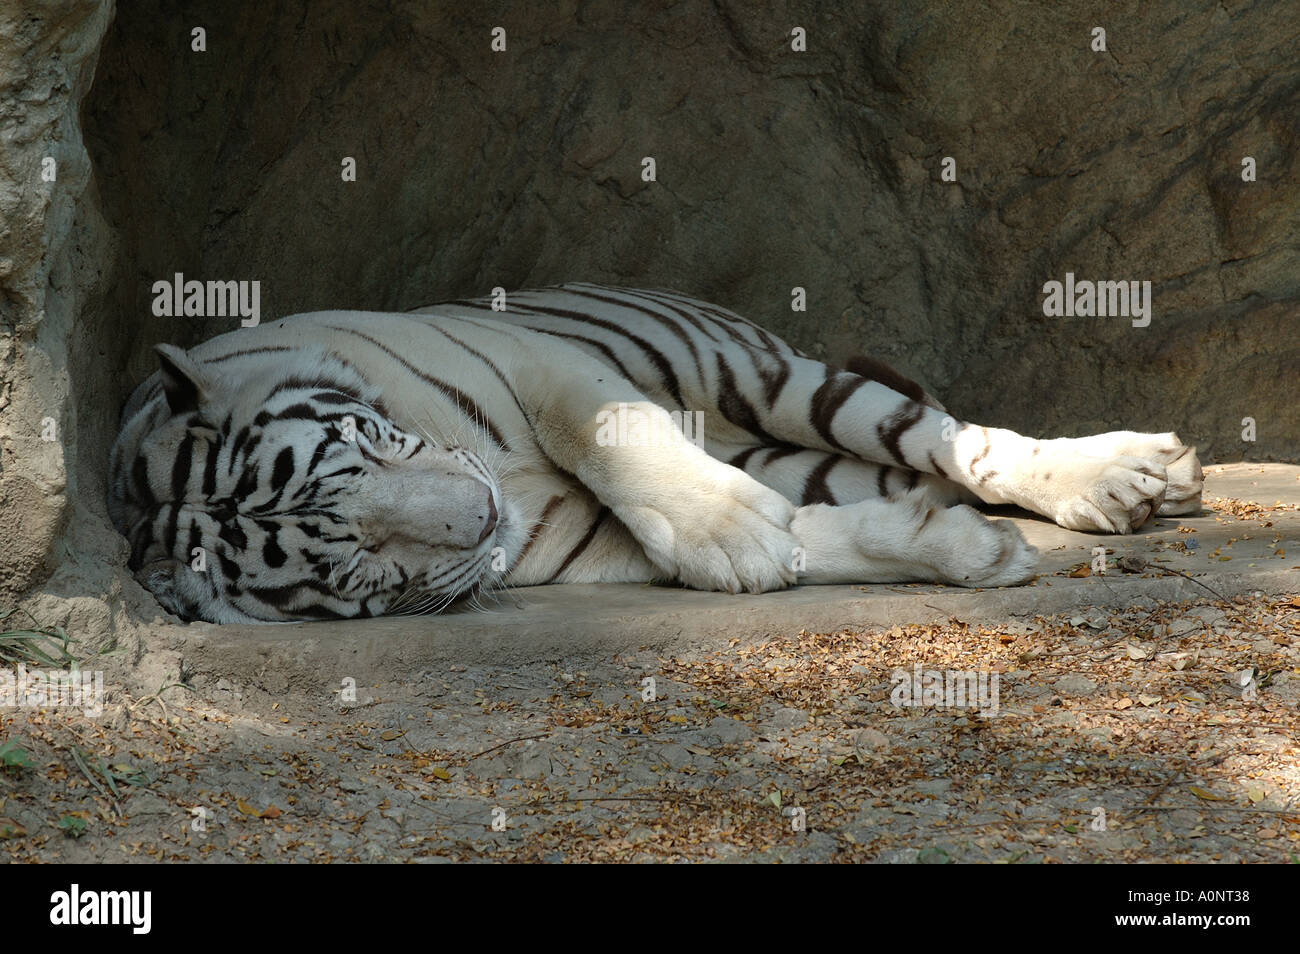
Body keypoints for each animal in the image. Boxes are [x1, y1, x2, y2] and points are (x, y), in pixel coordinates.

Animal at [107, 283, 1203, 623]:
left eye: (360, 455)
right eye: (357, 565)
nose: (483, 517)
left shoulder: (544, 364)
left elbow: (606, 431)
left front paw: (725, 528)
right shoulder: (583, 545)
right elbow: (818, 538)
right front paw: (968, 553)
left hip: (766, 378)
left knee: (959, 441)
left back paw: (1122, 474)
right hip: (790, 449)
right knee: (887, 473)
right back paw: (1156, 486)